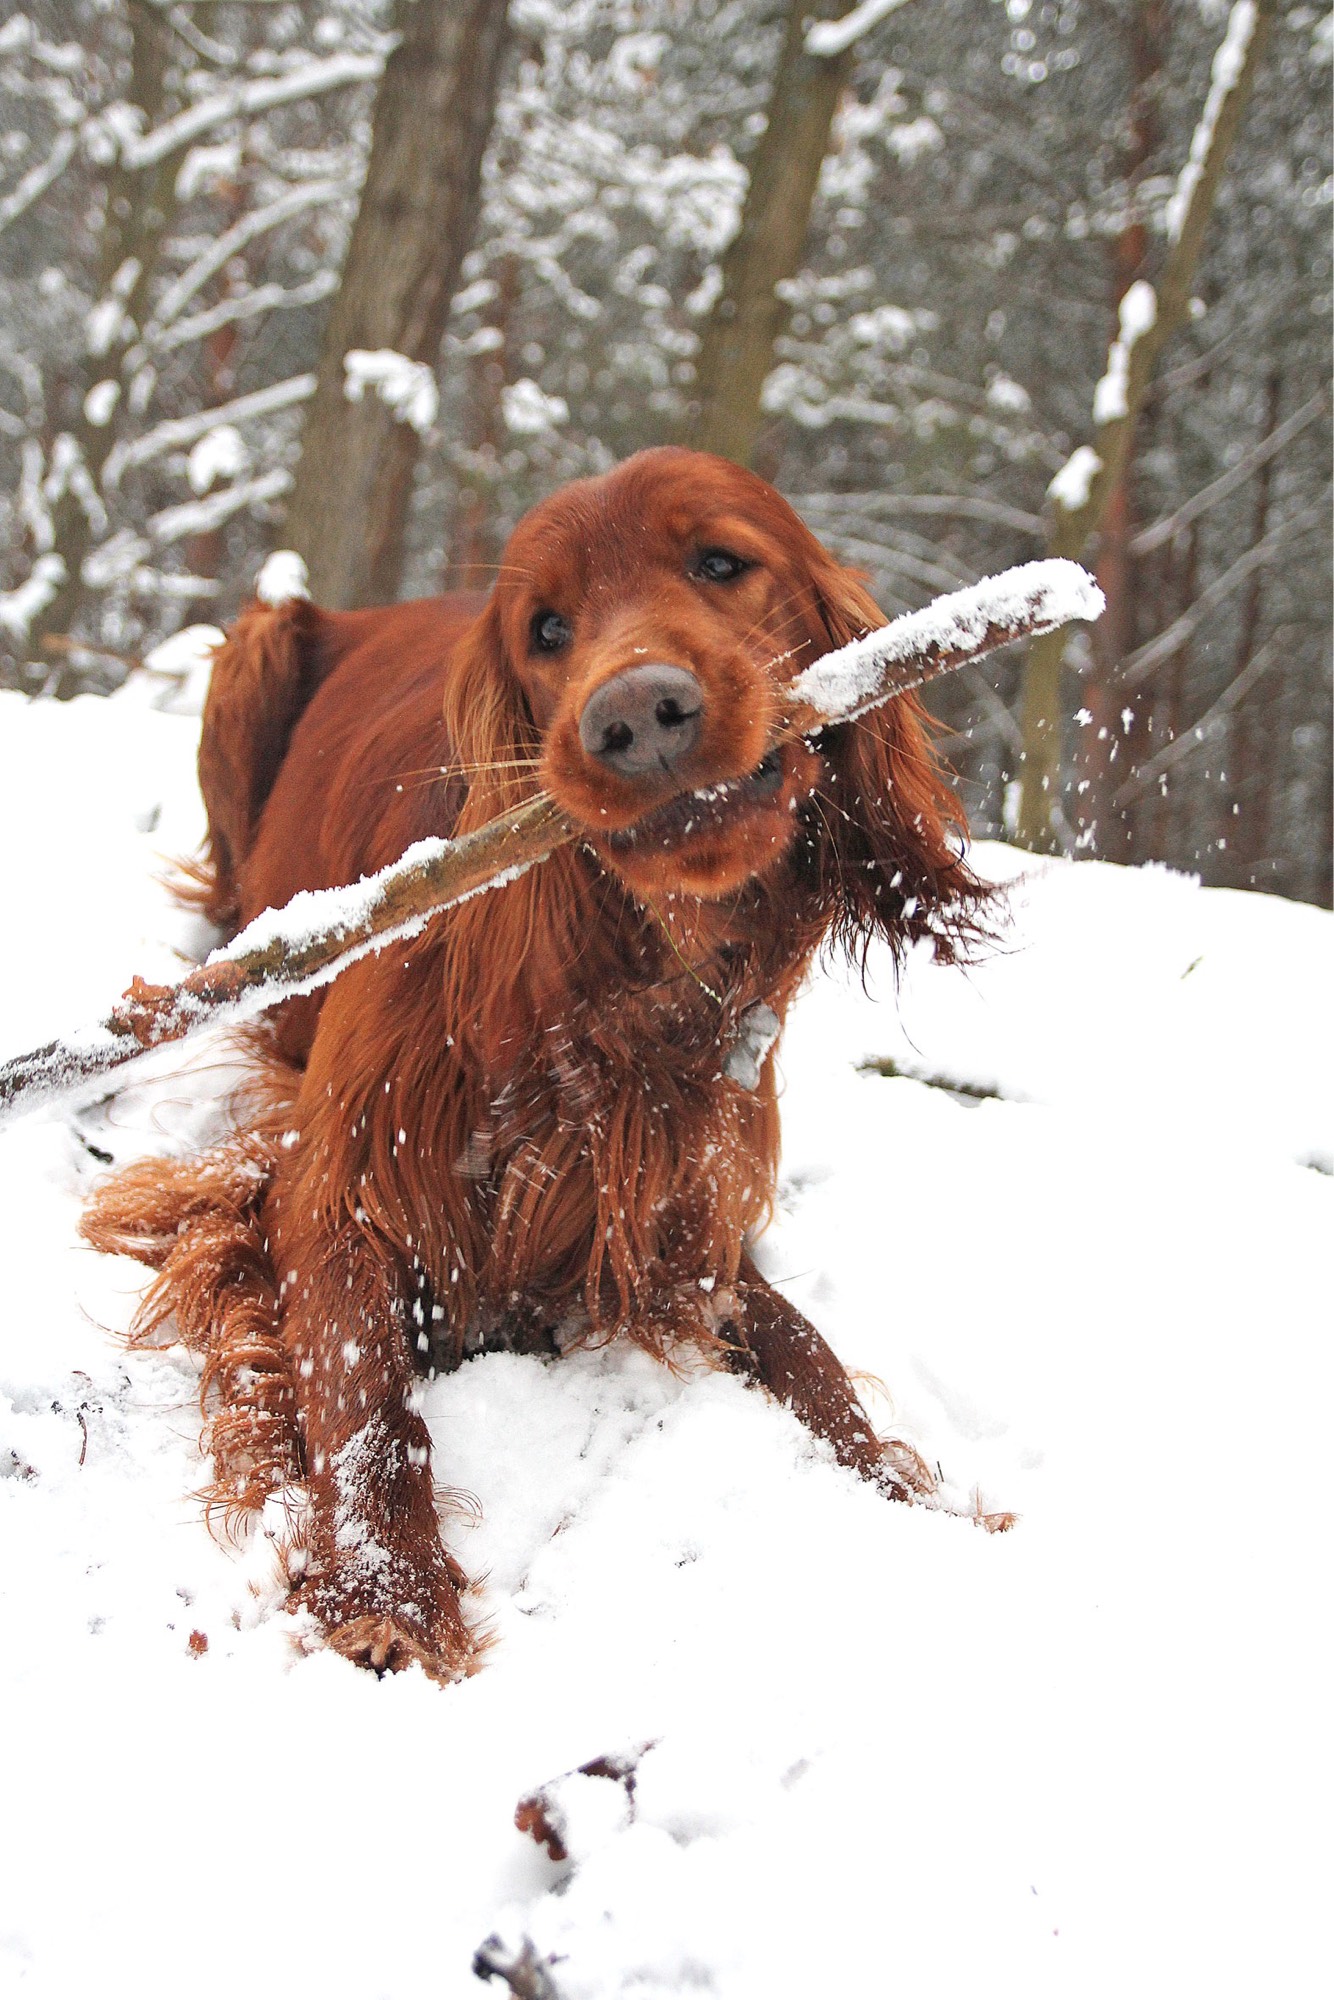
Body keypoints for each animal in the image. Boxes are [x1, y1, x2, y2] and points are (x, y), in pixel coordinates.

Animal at [81, 446, 980, 1680]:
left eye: (720, 562)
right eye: (547, 630)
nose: (636, 714)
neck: (620, 983)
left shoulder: (668, 1220)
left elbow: (804, 1345)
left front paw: (904, 1489)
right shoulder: (330, 1188)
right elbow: (362, 1397)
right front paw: (395, 1598)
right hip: (253, 644)